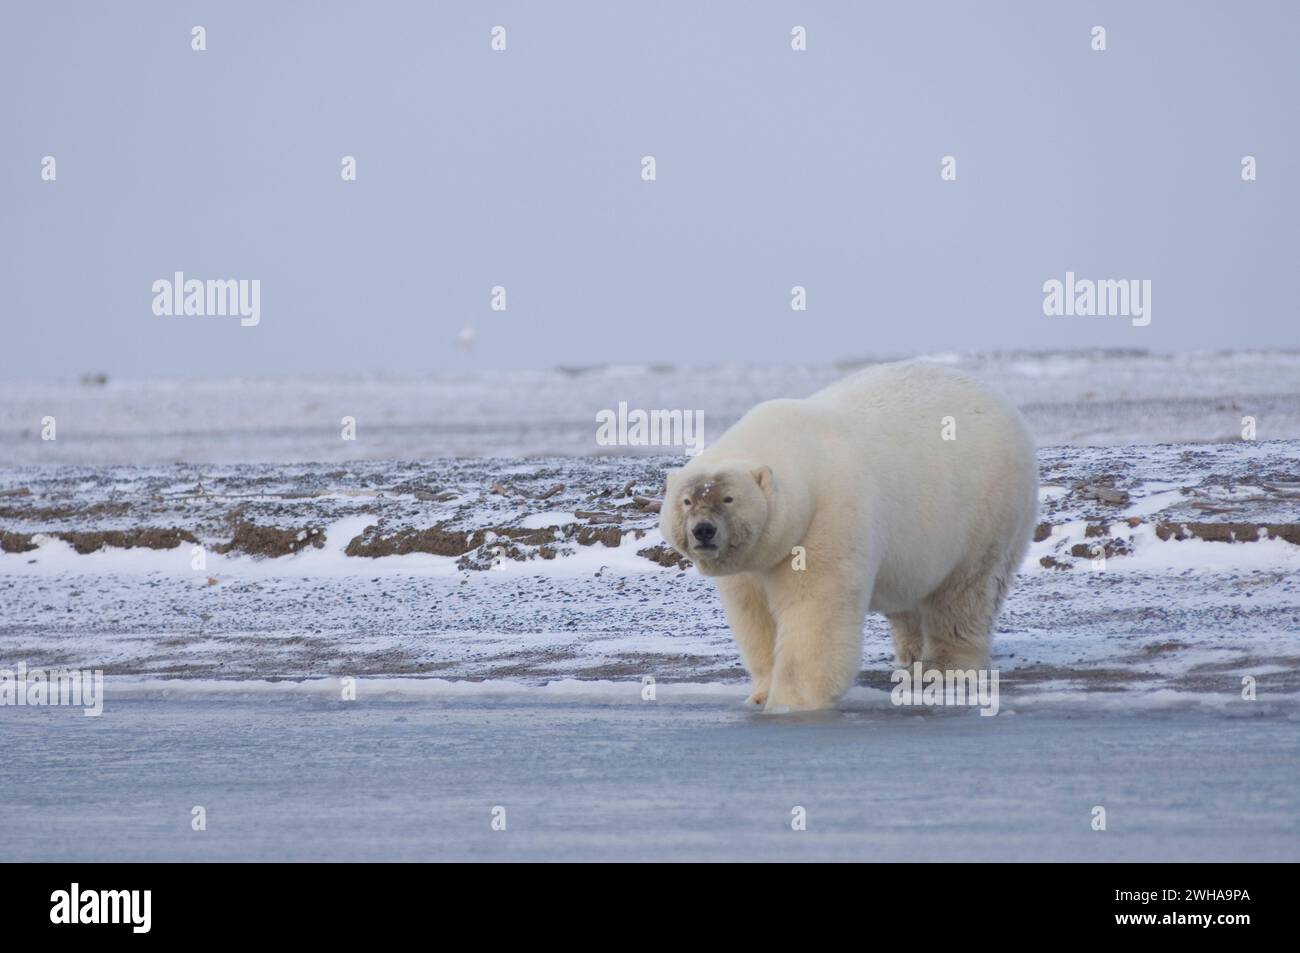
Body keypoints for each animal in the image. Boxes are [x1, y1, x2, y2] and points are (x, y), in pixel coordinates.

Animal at [659, 360, 1039, 712]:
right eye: (687, 500)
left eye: (728, 498)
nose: (703, 530)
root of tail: (999, 399)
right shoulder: (753, 561)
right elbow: (754, 614)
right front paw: (761, 692)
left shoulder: (827, 515)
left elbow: (816, 605)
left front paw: (793, 700)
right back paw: (911, 654)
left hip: (987, 509)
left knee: (964, 593)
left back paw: (945, 667)